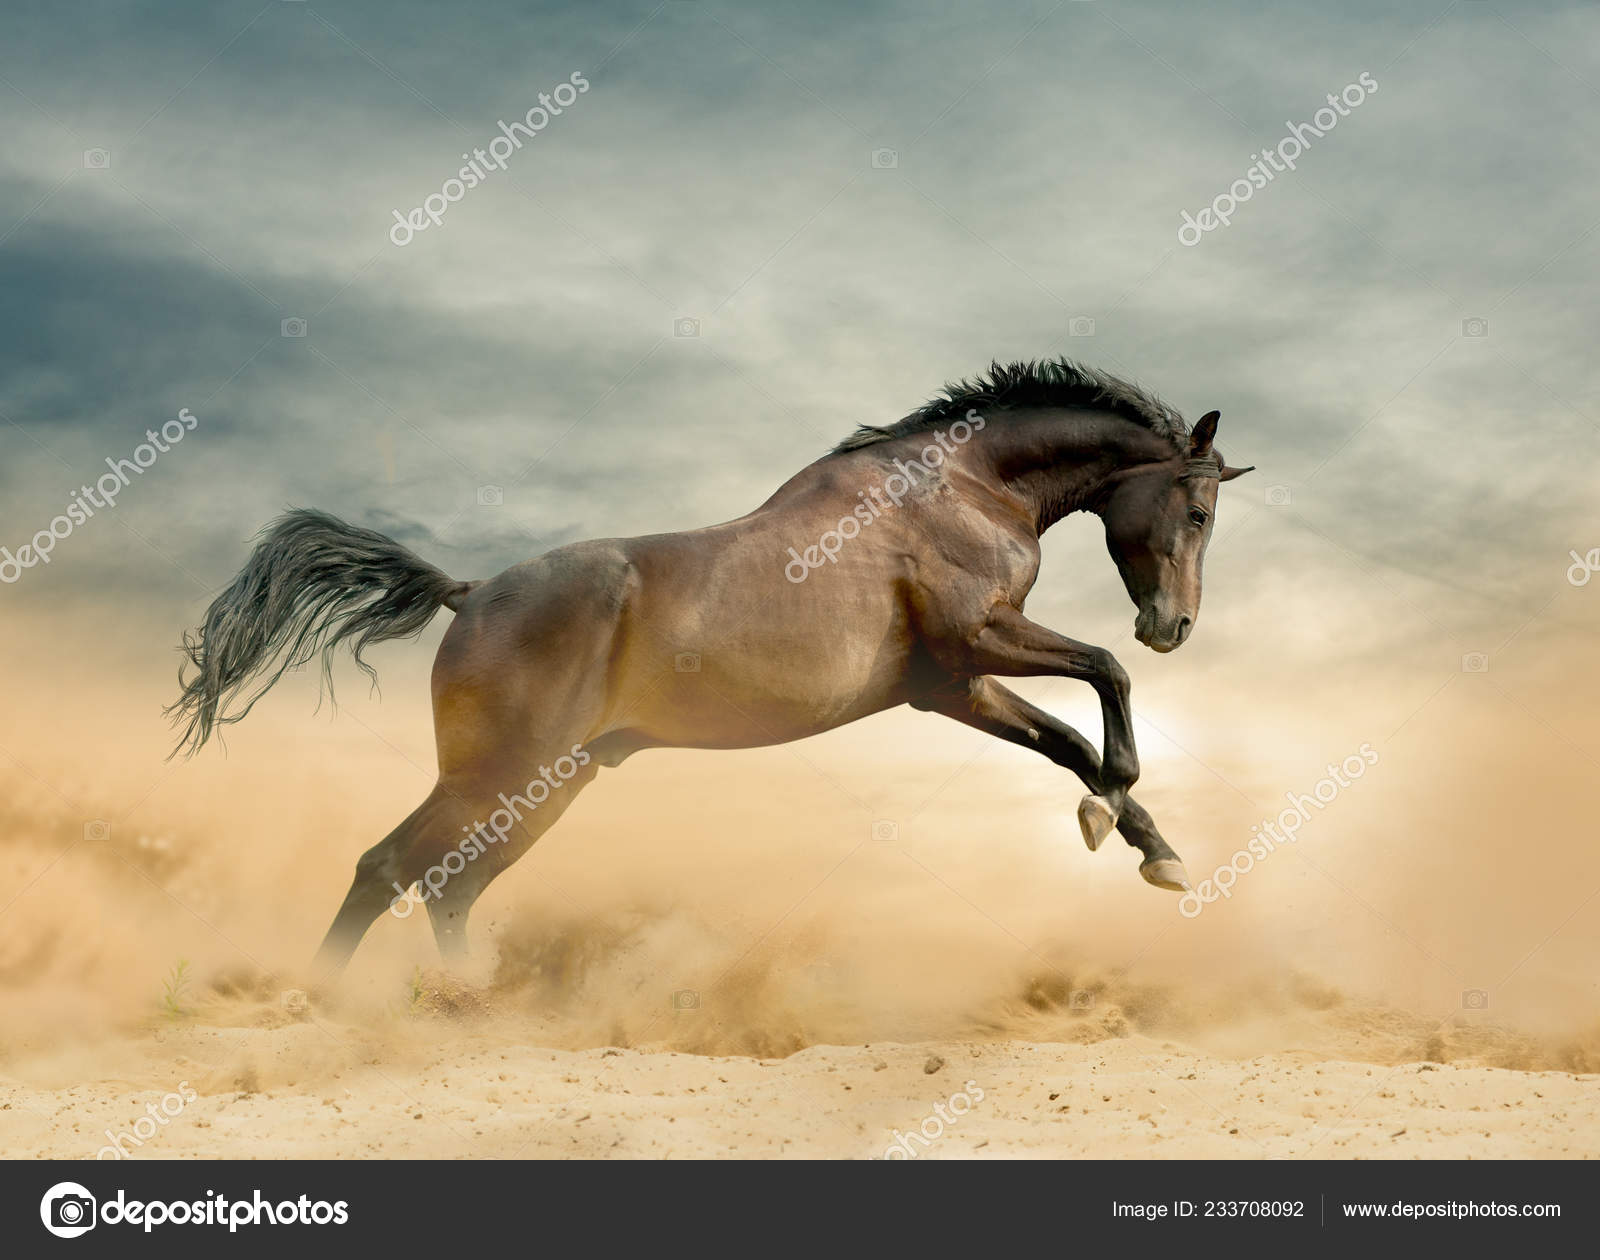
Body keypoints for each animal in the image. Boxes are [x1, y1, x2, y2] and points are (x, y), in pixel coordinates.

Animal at [167, 359, 1253, 978]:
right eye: (1196, 510)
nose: (1173, 625)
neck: (959, 484)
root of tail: (469, 594)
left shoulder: (948, 686)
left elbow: (1069, 739)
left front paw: (1148, 847)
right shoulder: (975, 642)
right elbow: (1104, 679)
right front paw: (1118, 815)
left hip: (547, 786)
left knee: (450, 889)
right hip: (496, 775)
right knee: (388, 868)